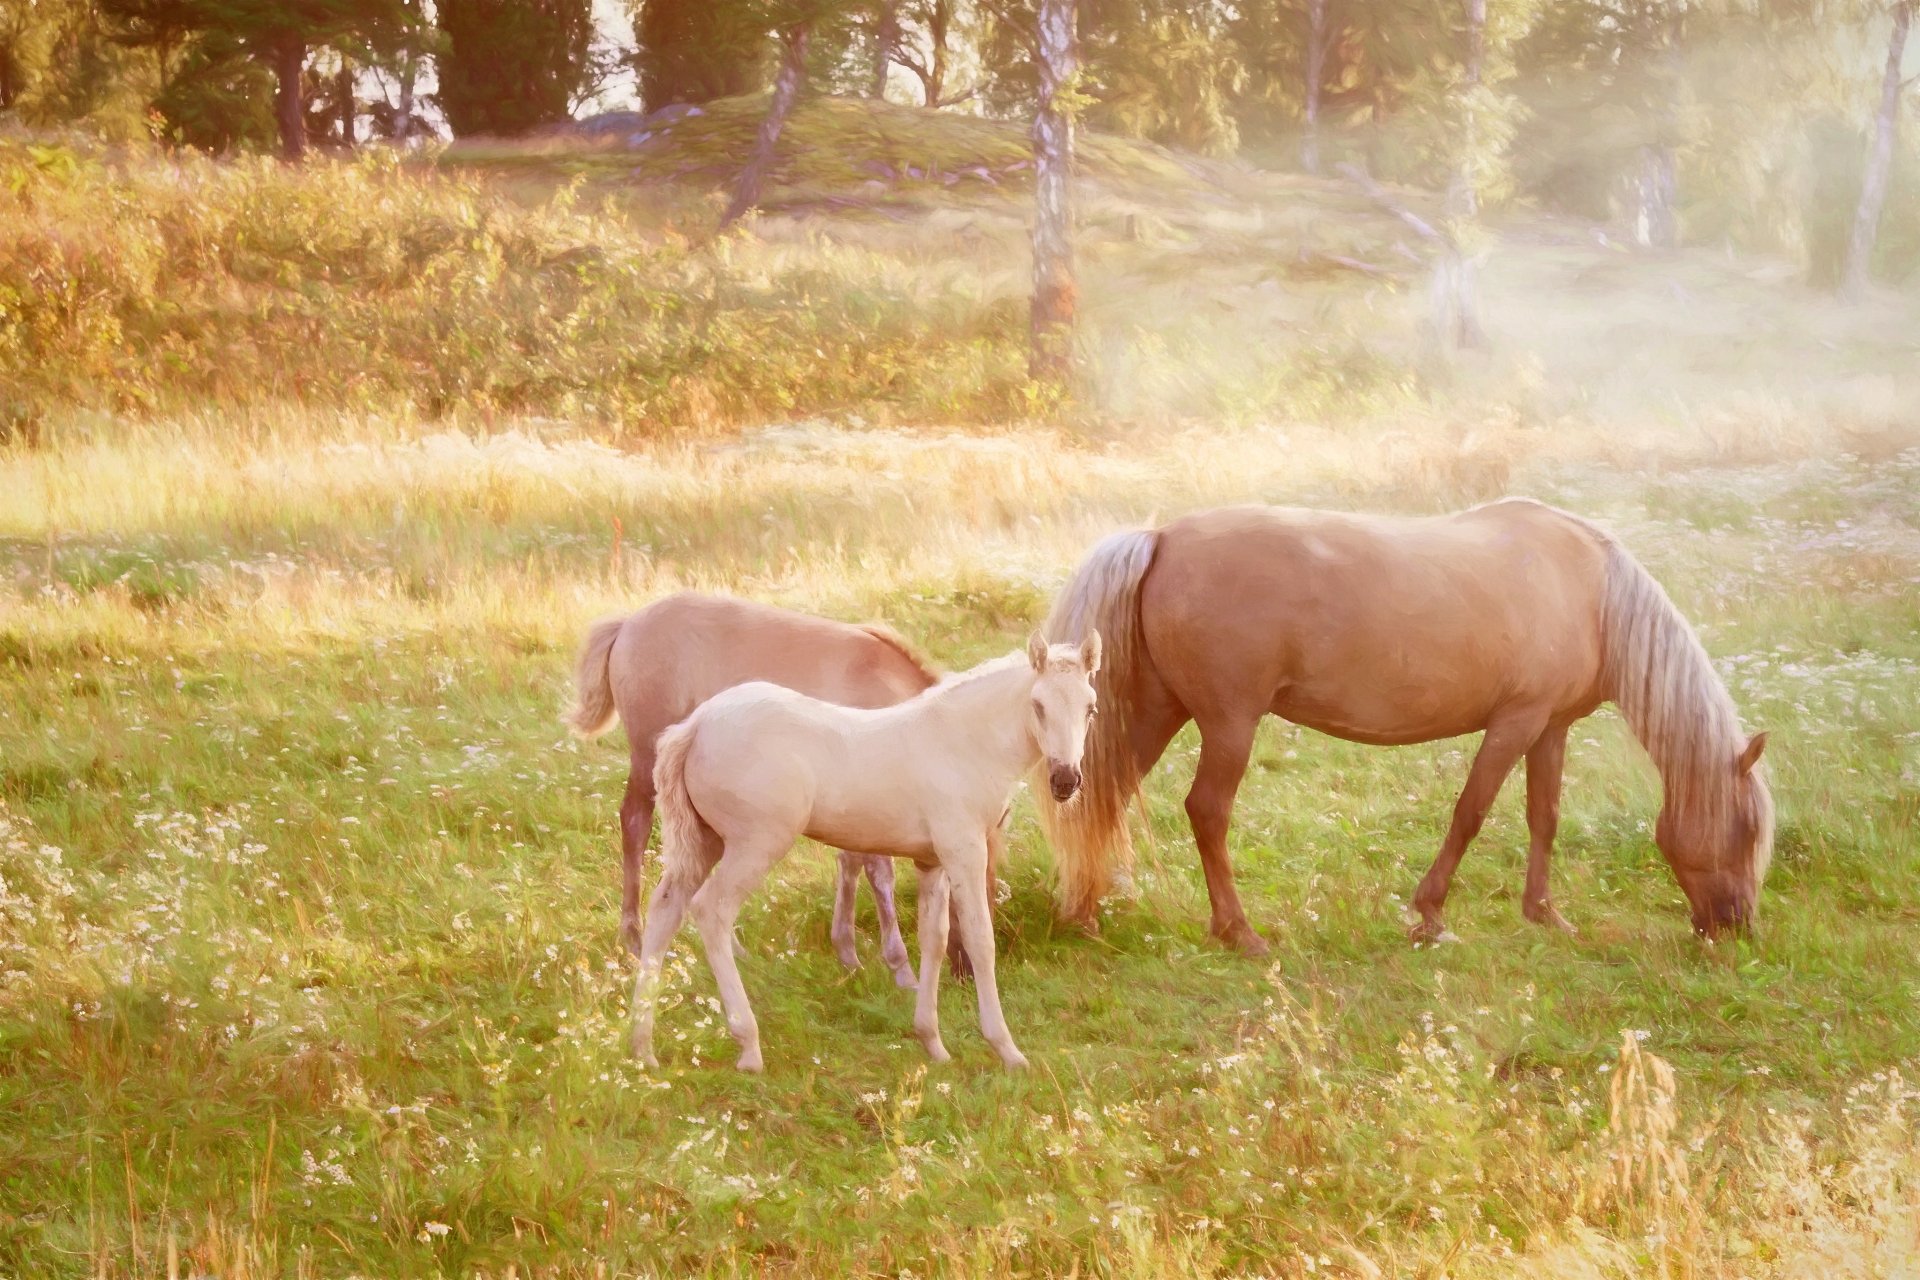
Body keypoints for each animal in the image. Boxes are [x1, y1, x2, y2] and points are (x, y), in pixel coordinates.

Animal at [568, 592, 1001, 985]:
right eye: (964, 889)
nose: (967, 973)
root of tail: (628, 624)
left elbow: (850, 863)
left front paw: (847, 952)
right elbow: (878, 874)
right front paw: (899, 969)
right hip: (648, 755)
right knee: (635, 824)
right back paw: (634, 938)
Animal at [630, 632, 1100, 1073]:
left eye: (1090, 708)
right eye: (1038, 705)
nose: (1065, 780)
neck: (965, 741)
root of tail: (696, 725)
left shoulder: (932, 862)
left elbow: (933, 939)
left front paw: (932, 1042)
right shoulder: (965, 851)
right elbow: (979, 940)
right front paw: (1007, 1049)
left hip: (705, 841)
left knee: (665, 910)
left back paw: (643, 1047)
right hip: (755, 844)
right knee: (711, 911)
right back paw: (747, 1046)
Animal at [1039, 499, 1772, 949]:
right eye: (1745, 829)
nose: (1736, 927)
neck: (1590, 591)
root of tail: (1161, 538)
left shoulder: (1550, 727)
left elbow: (1543, 816)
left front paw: (1545, 914)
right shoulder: (1515, 722)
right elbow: (1471, 812)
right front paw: (1431, 917)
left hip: (1162, 711)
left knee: (1105, 793)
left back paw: (1085, 913)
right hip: (1228, 724)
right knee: (1207, 811)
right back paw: (1239, 932)